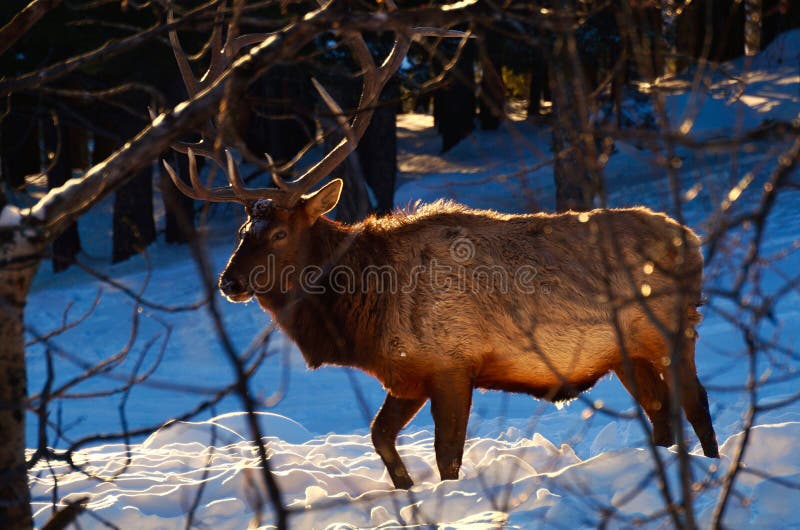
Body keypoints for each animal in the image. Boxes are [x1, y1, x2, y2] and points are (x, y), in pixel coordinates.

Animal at [161, 1, 719, 490]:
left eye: (279, 233)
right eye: (242, 231)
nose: (229, 281)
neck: (368, 312)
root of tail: (692, 241)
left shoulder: (452, 364)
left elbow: (447, 456)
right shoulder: (406, 375)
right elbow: (380, 437)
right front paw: (405, 490)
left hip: (674, 328)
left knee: (695, 401)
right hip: (627, 353)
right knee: (660, 411)